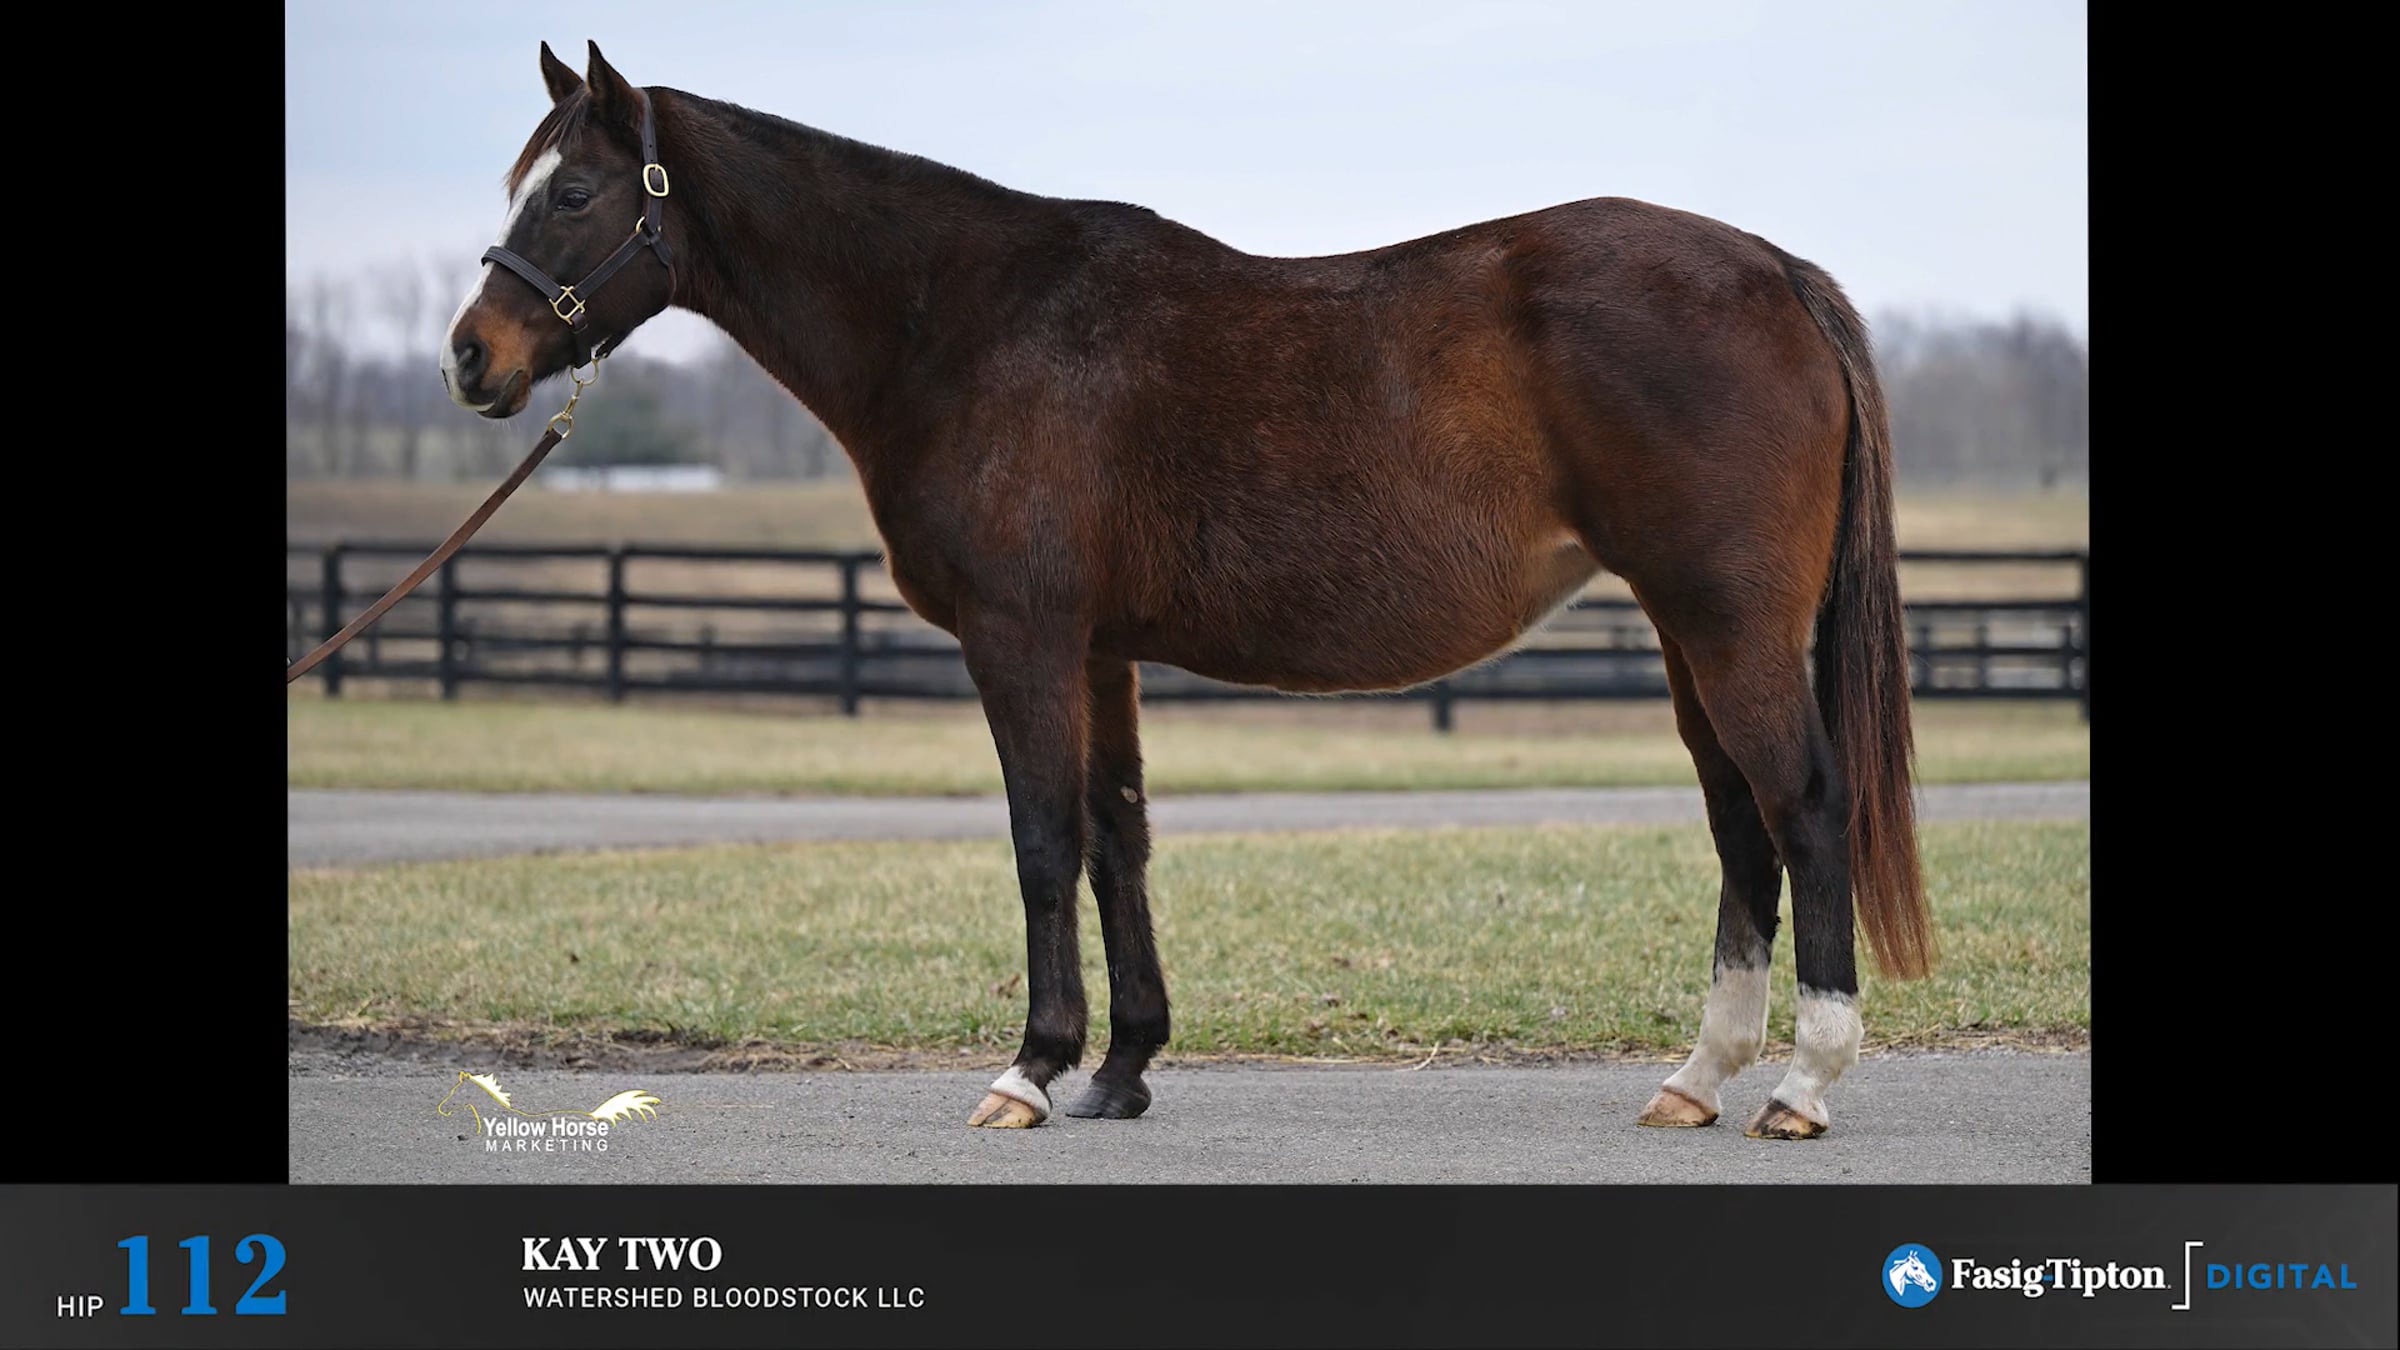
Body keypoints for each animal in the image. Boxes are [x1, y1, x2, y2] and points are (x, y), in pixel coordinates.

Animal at [439, 41, 1933, 1140]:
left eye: (573, 194)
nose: (472, 357)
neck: (967, 322)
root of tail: (1774, 272)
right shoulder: (1100, 650)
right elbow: (1119, 838)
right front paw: (1121, 1069)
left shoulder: (1024, 640)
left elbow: (1044, 840)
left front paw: (1030, 1070)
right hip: (1689, 635)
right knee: (1741, 825)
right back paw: (1697, 1078)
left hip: (1728, 625)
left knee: (1803, 808)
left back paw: (1803, 1082)